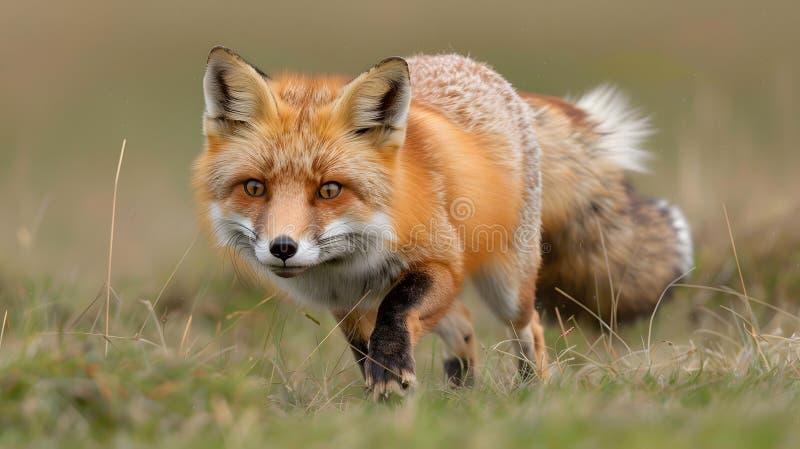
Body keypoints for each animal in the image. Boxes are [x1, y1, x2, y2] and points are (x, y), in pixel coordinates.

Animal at [193, 46, 693, 397]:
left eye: (330, 190)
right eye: (254, 187)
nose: (282, 248)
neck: (353, 263)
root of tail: (487, 73)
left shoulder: (440, 265)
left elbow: (396, 313)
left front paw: (390, 374)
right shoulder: (346, 304)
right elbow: (364, 349)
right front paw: (386, 392)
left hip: (507, 285)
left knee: (528, 328)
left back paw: (532, 391)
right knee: (464, 323)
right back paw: (458, 392)